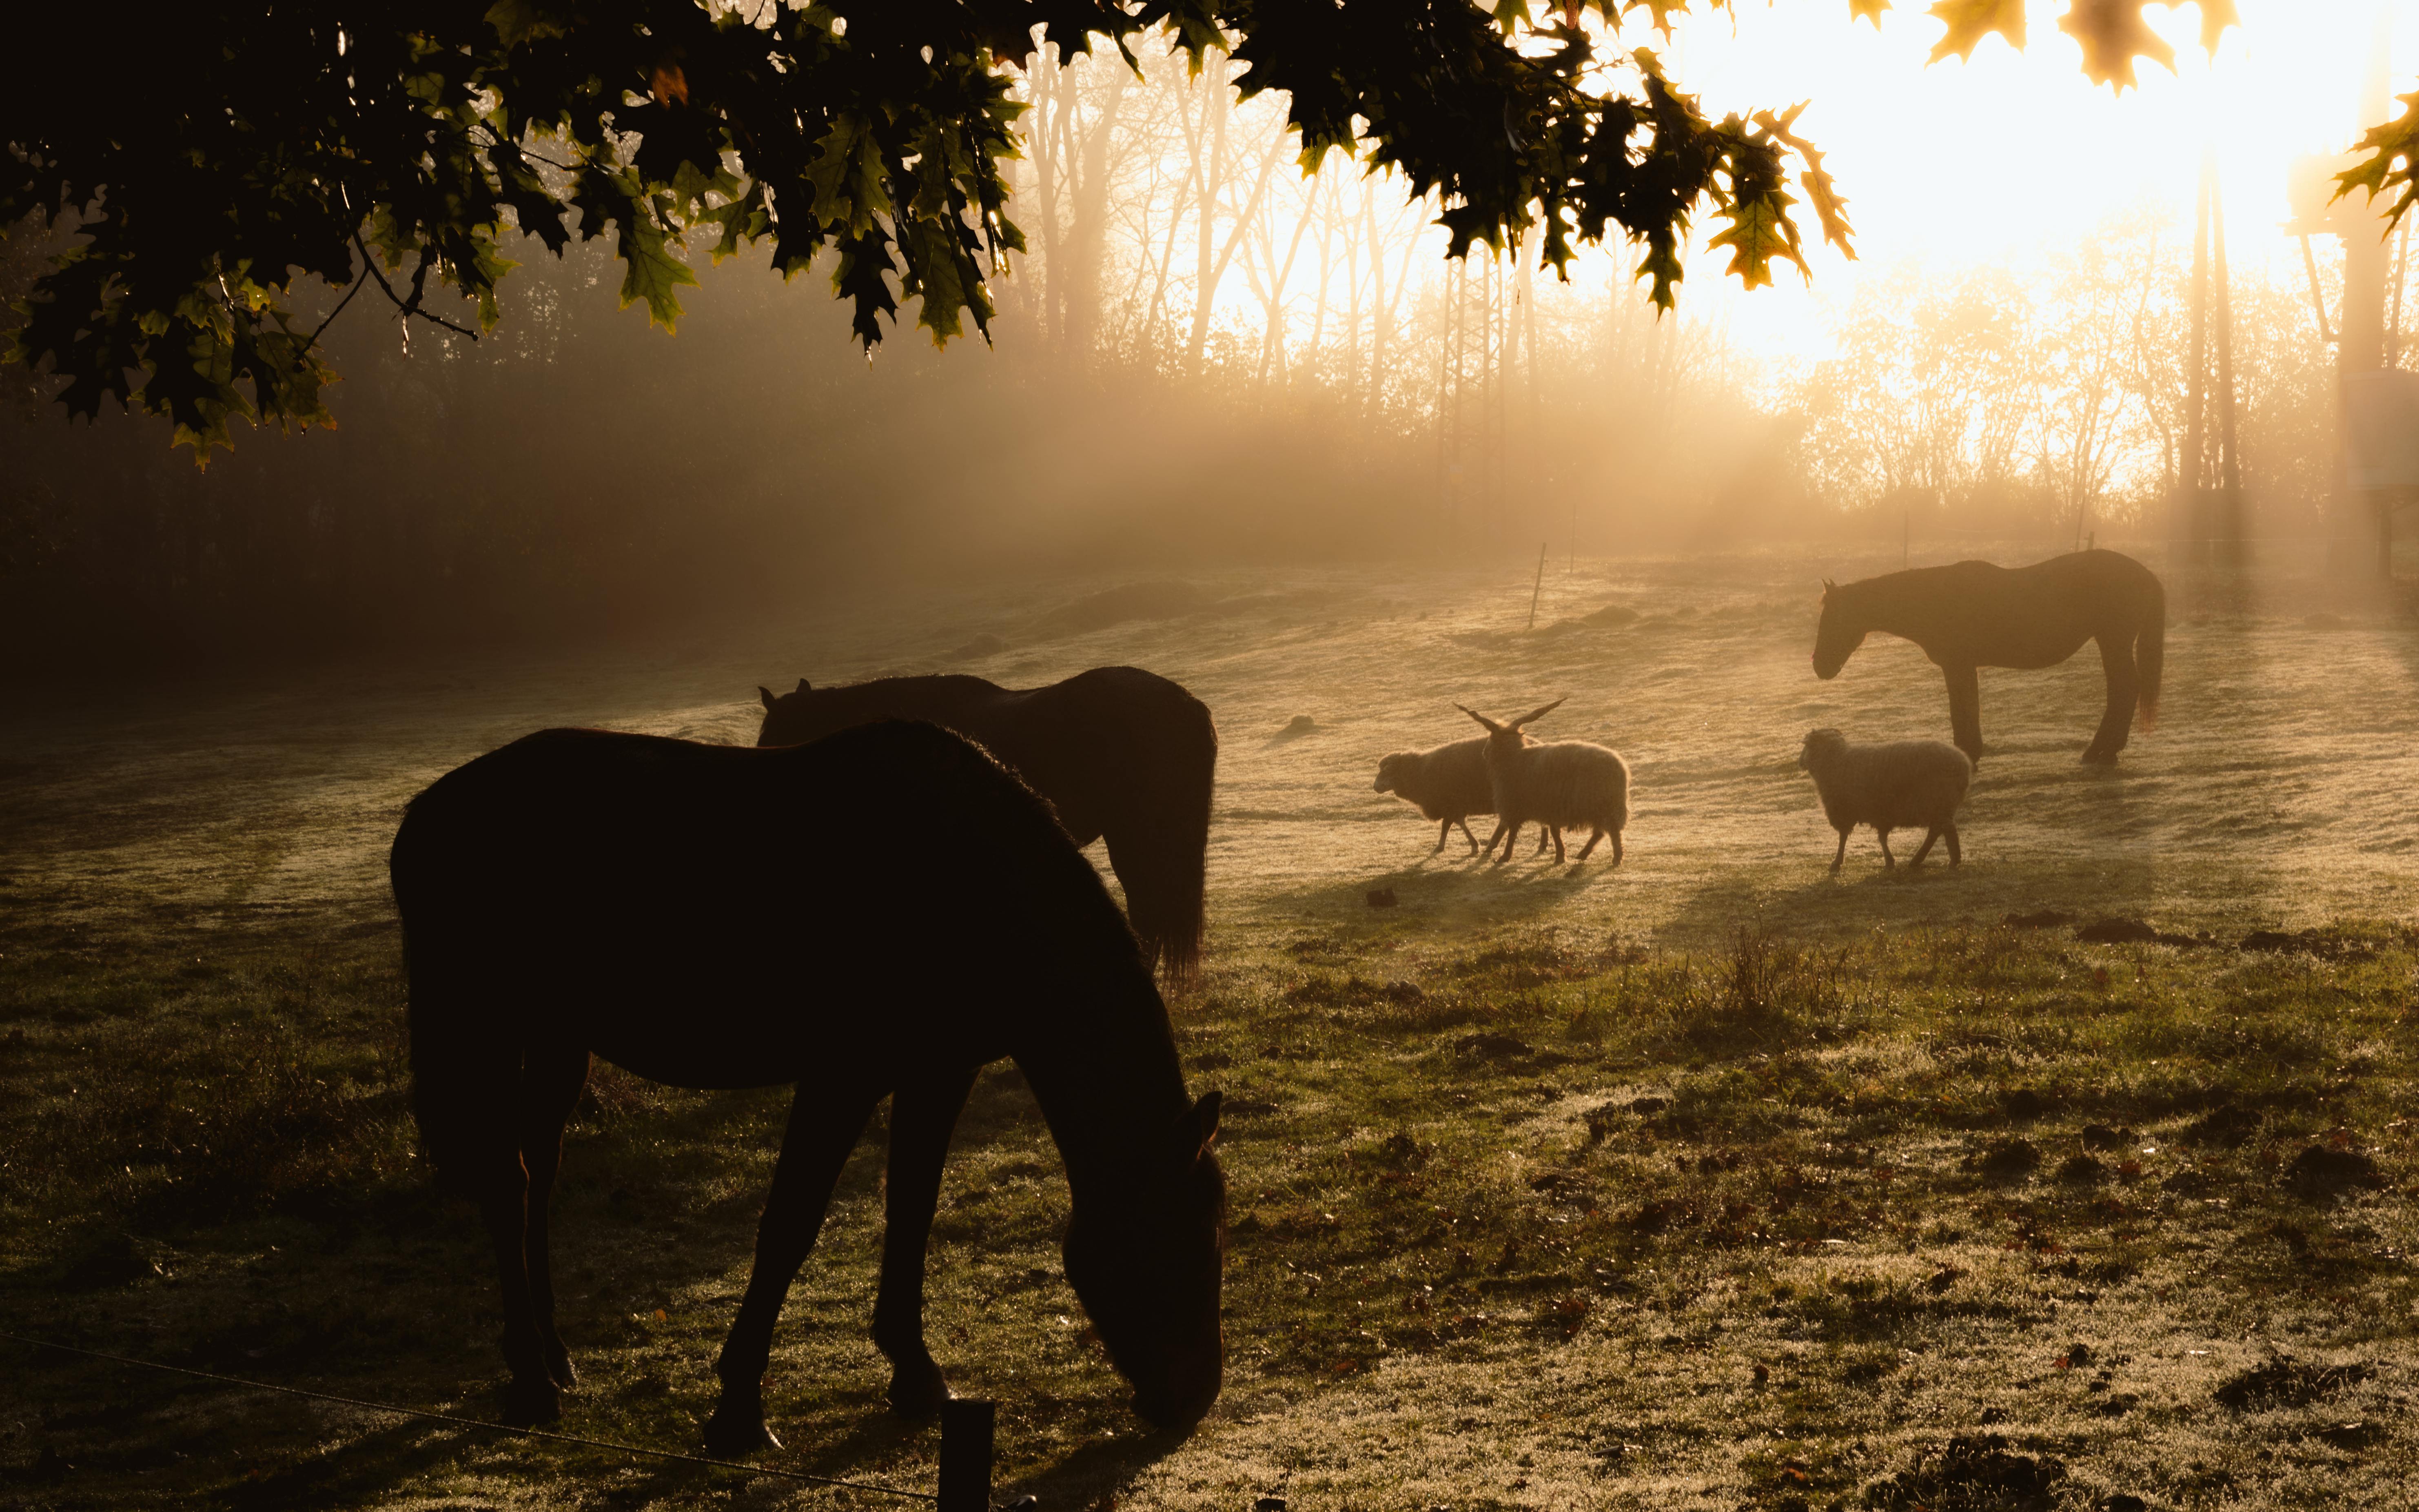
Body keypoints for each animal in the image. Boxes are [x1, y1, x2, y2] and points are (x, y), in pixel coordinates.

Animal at [389, 721, 1225, 1453]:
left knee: (538, 1171)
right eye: (1180, 1232)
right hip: (484, 1026)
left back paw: (555, 1354)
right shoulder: (841, 1077)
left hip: (560, 1037)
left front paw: (915, 1373)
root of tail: (426, 814)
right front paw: (739, 1408)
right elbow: (791, 1224)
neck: (968, 884)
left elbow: (911, 1208)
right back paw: (532, 1380)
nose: (1195, 1397)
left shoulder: (935, 1072)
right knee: (507, 1182)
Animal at [1373, 736, 1558, 856]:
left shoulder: (1453, 805)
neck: (1420, 772)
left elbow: (1454, 824)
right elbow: (1450, 825)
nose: (1375, 787)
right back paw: (1540, 845)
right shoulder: (1452, 806)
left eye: (1387, 770)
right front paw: (1444, 846)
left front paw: (1470, 846)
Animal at [1456, 700, 1631, 865]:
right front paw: (1560, 856)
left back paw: (1615, 858)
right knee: (1602, 832)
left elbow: (1513, 832)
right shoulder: (1549, 810)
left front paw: (1505, 856)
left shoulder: (1515, 806)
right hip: (1604, 806)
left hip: (1601, 805)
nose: (1484, 753)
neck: (1514, 757)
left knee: (1610, 831)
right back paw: (1586, 854)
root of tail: (1621, 768)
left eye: (1492, 738)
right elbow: (1554, 831)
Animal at [1796, 728, 1972, 872]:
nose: (1799, 762)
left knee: (1945, 830)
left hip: (1938, 802)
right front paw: (1889, 862)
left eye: (1806, 746)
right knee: (1937, 831)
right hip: (1939, 806)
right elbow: (1882, 838)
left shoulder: (1845, 811)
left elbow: (1844, 837)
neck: (1834, 761)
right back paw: (1921, 860)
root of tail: (1964, 763)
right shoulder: (1880, 813)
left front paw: (1836, 863)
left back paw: (1950, 861)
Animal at [1811, 549, 2167, 766]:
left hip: (2113, 641)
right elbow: (1966, 710)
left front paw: (1968, 754)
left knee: (2124, 689)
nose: (1819, 666)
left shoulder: (1958, 666)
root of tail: (2145, 573)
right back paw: (2106, 751)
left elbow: (1962, 712)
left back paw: (2100, 752)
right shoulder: (1961, 667)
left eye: (1832, 620)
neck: (1936, 599)